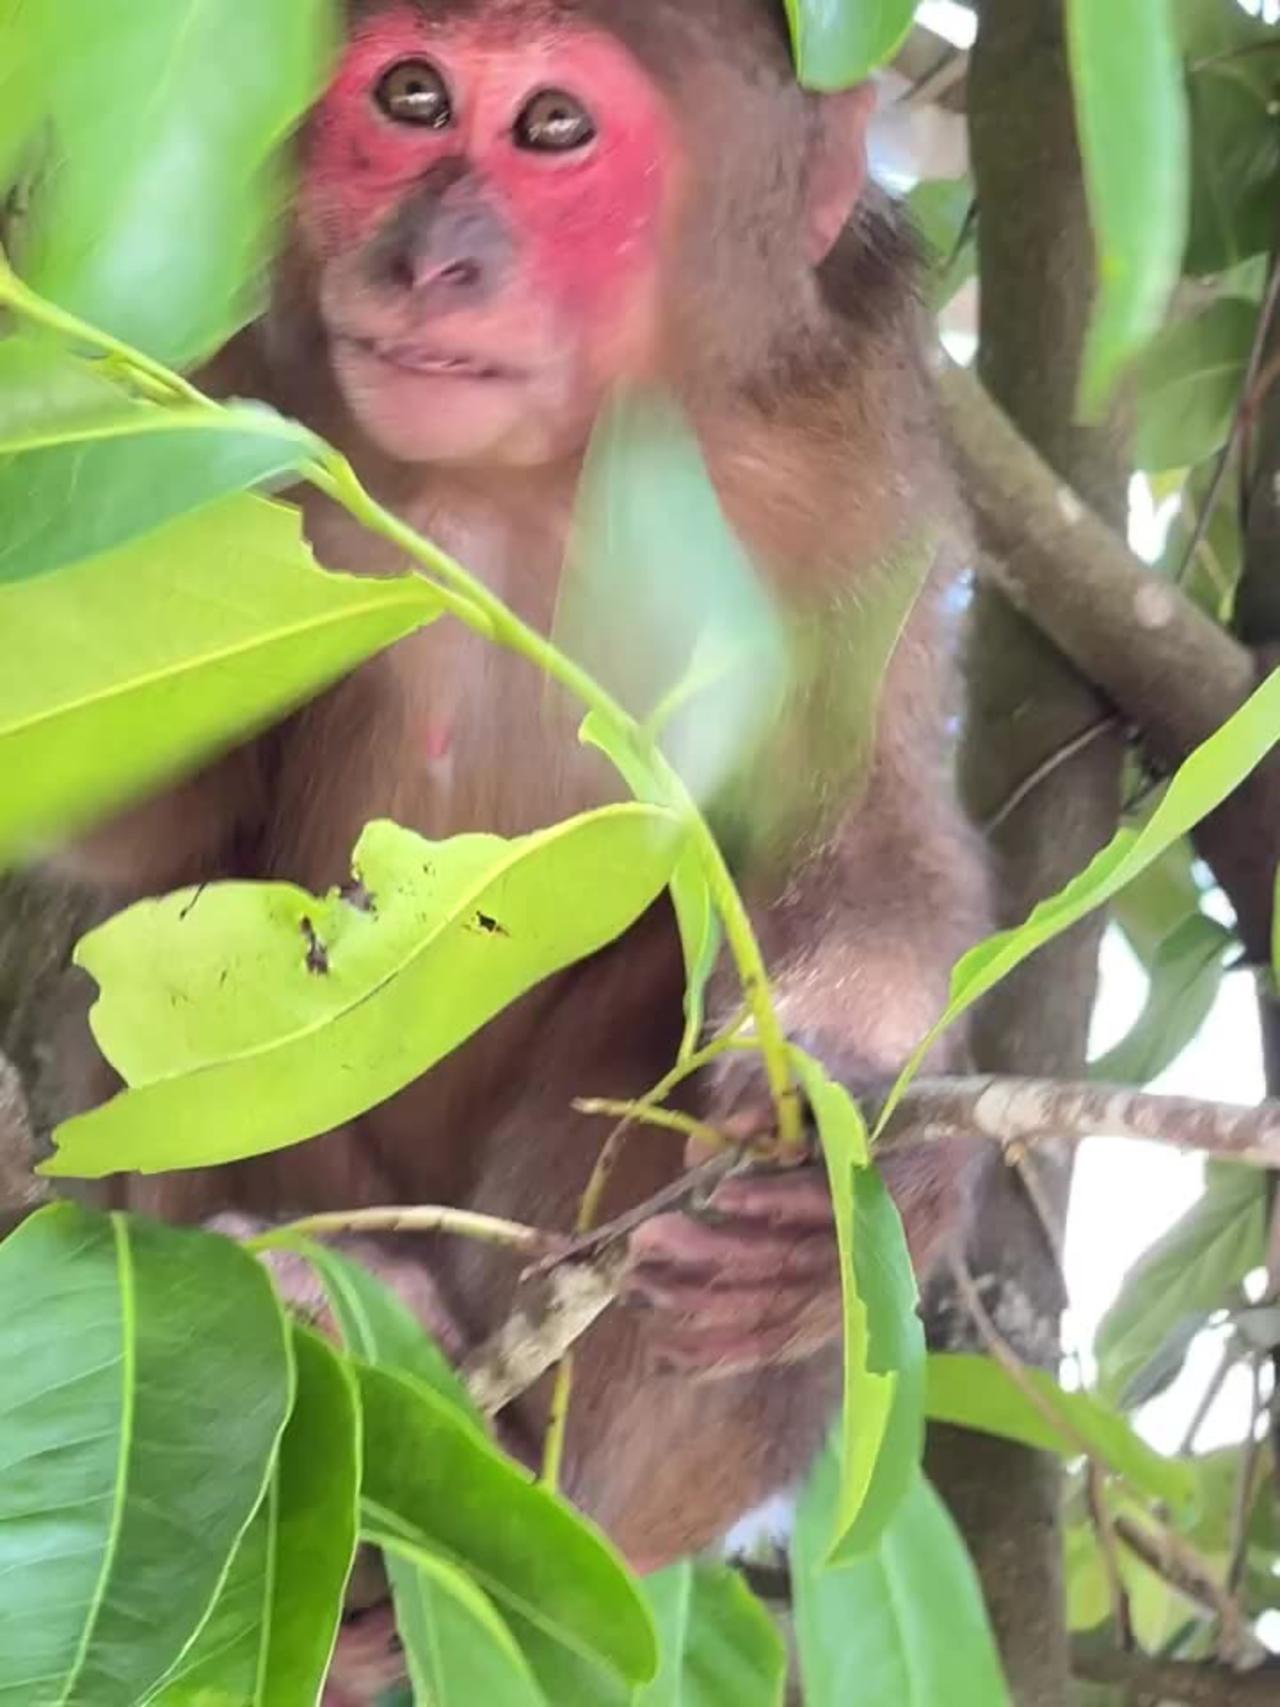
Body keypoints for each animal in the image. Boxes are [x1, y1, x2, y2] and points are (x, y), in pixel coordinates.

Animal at [48, 0, 990, 1695]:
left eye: (555, 127)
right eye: (415, 98)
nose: (432, 261)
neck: (541, 468)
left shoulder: (853, 454)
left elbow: (871, 839)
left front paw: (874, 1143)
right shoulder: (236, 394)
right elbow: (162, 855)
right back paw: (336, 1292)